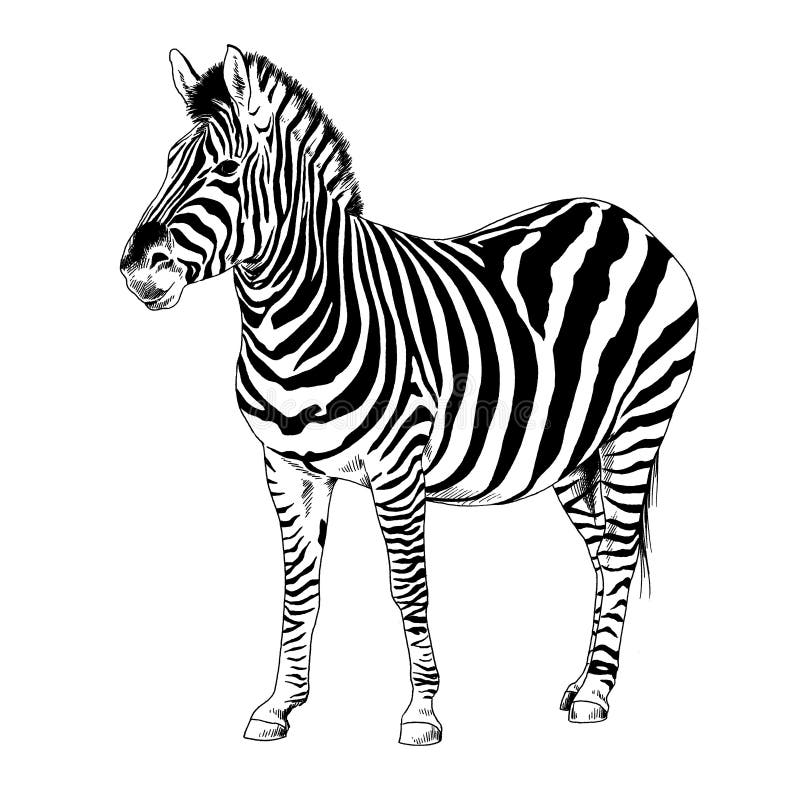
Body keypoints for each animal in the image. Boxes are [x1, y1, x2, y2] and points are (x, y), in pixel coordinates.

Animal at [120, 45, 698, 746]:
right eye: (167, 163)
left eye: (226, 169)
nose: (136, 271)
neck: (296, 318)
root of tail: (622, 217)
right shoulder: (286, 467)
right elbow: (299, 589)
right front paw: (280, 705)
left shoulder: (399, 467)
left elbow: (408, 587)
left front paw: (422, 710)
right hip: (573, 455)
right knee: (604, 554)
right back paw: (583, 681)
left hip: (637, 428)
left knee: (616, 555)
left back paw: (595, 697)